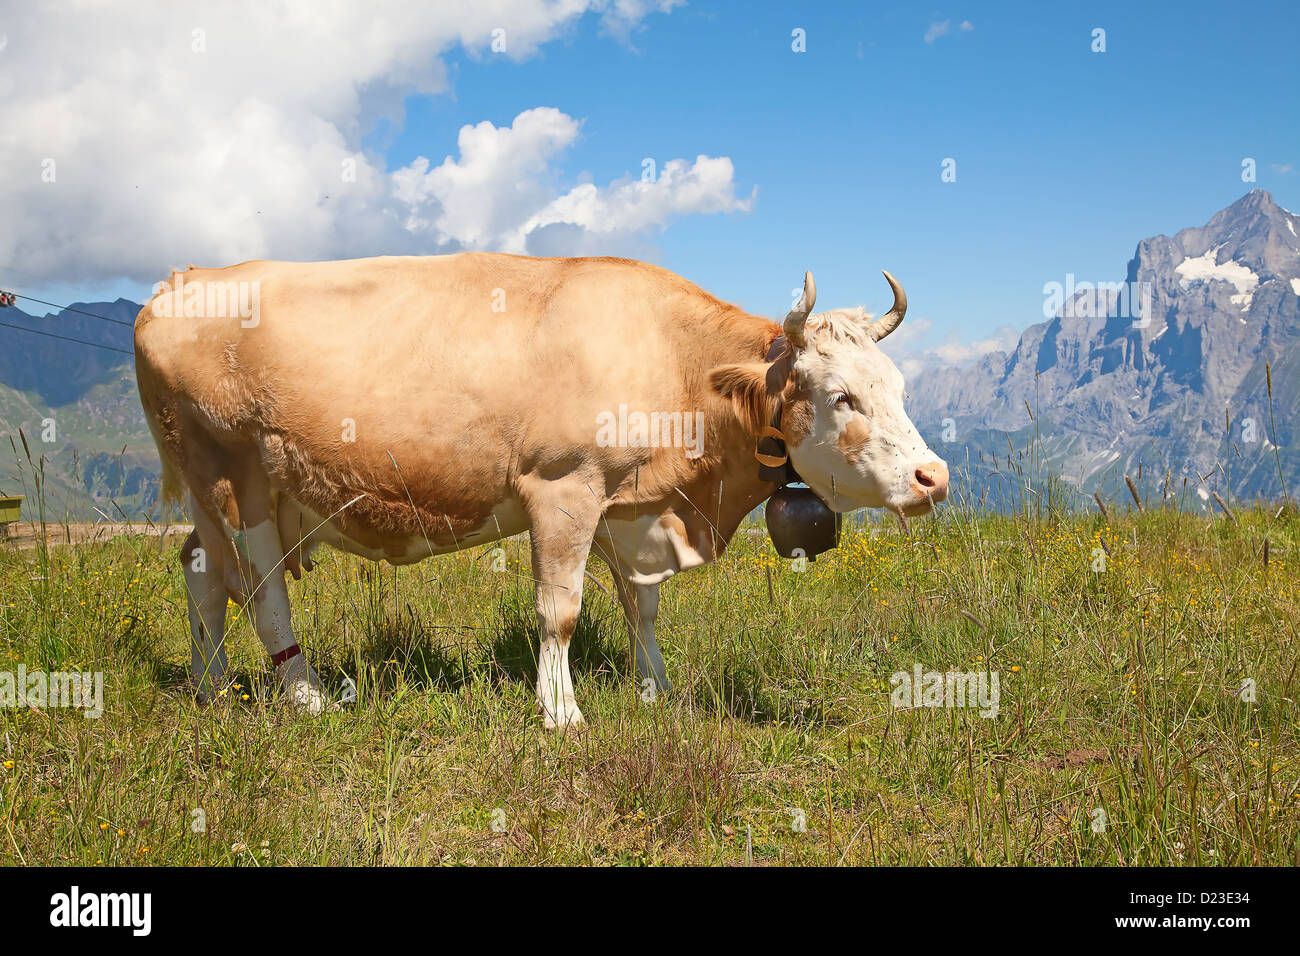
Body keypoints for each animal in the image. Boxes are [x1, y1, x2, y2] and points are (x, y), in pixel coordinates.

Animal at [134, 254, 948, 728]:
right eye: (841, 397)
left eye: (900, 387)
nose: (933, 477)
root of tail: (180, 282)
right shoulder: (564, 487)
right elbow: (561, 610)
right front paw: (561, 713)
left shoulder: (627, 504)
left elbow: (641, 606)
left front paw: (653, 689)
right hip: (235, 478)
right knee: (261, 592)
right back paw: (302, 695)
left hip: (237, 496)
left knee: (199, 571)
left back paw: (212, 689)